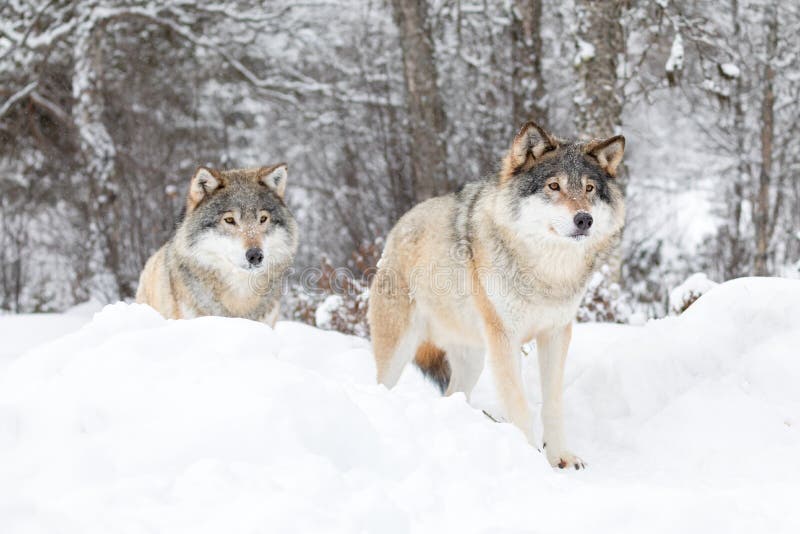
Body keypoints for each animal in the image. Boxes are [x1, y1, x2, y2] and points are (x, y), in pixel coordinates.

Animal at [368, 122, 625, 469]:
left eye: (588, 189)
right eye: (553, 186)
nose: (584, 219)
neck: (545, 273)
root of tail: (398, 226)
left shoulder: (556, 334)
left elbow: (552, 403)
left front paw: (560, 457)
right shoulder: (505, 338)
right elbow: (518, 405)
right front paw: (531, 462)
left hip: (473, 359)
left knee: (452, 395)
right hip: (399, 352)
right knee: (382, 387)